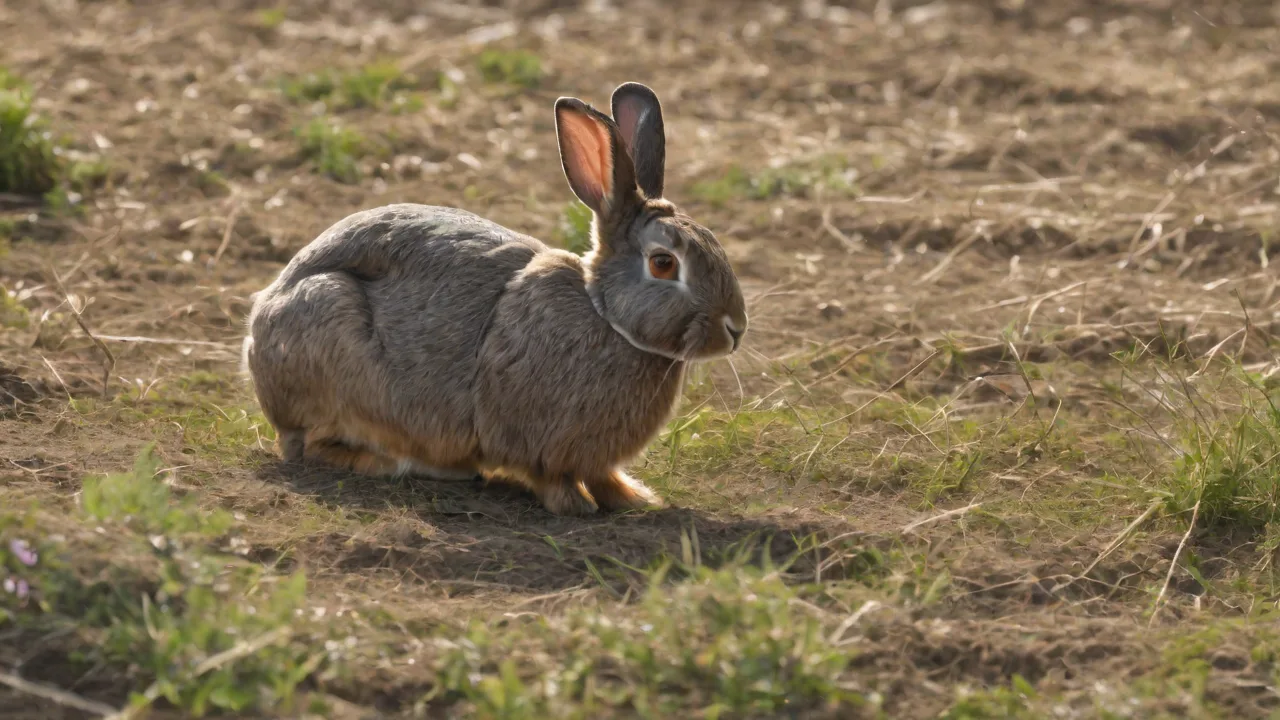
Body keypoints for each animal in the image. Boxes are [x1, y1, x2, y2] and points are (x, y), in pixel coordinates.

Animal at [242, 82, 747, 515]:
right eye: (663, 263)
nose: (736, 329)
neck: (605, 316)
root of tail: (259, 332)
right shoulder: (534, 438)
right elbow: (550, 477)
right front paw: (576, 505)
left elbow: (603, 475)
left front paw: (635, 498)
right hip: (334, 335)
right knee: (314, 445)